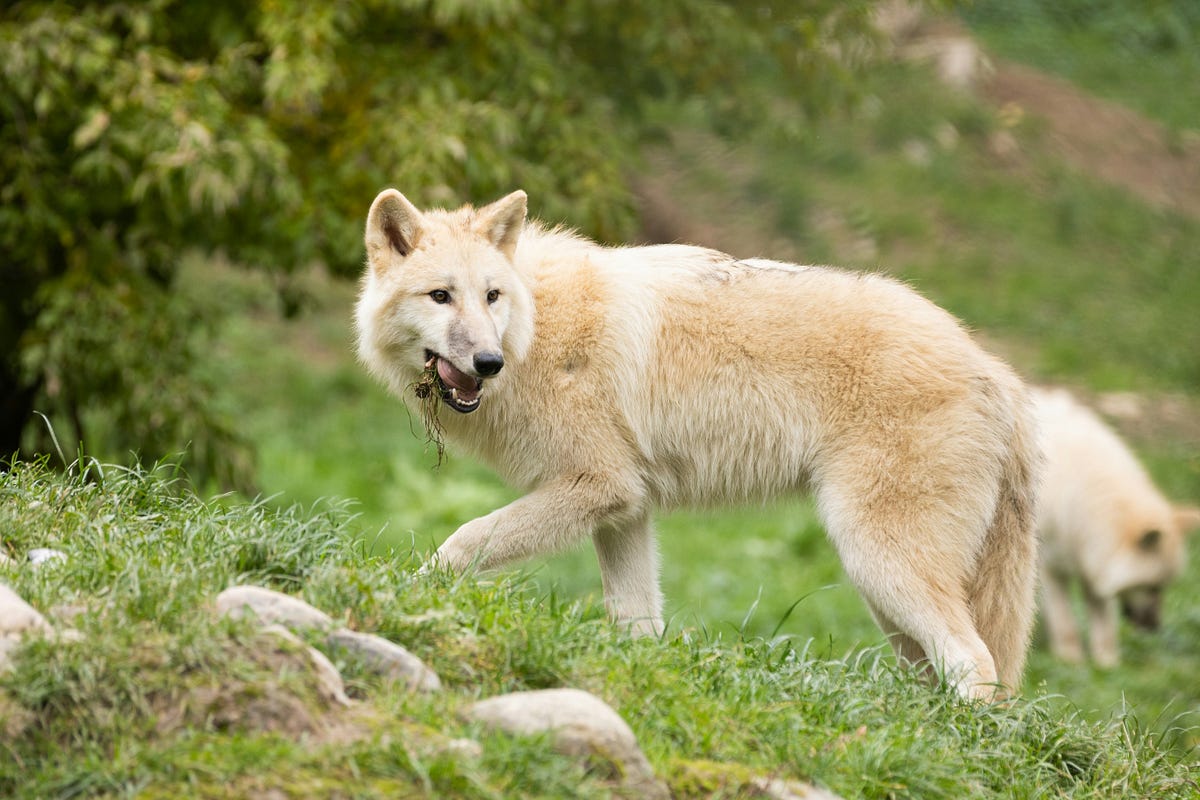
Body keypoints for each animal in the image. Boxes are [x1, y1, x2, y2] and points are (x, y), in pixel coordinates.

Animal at [355, 188, 1042, 700]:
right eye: (441, 296)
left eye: (491, 296)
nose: (488, 362)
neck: (537, 328)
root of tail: (997, 371)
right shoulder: (625, 507)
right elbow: (636, 620)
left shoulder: (597, 486)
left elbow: (462, 539)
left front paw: (410, 595)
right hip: (884, 594)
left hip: (876, 558)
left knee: (975, 663)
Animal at [1033, 387, 1200, 666]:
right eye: (1152, 587)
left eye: (1163, 587)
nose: (1154, 628)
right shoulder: (1051, 569)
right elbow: (1065, 622)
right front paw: (1071, 659)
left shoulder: (1092, 564)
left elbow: (1104, 625)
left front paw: (1106, 663)